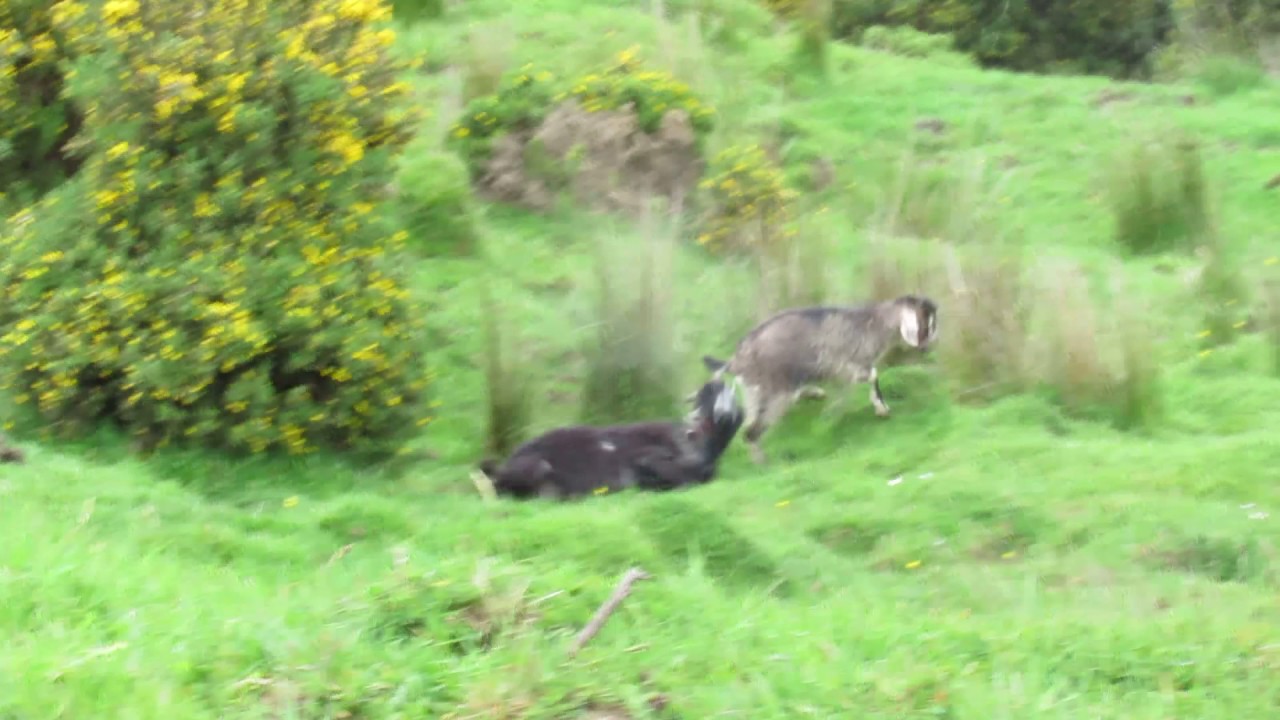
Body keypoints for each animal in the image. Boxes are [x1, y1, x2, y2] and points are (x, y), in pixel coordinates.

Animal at [702, 294, 939, 464]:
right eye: (928, 324)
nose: (930, 346)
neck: (871, 324)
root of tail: (738, 357)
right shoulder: (845, 362)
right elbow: (871, 374)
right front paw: (881, 409)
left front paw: (827, 407)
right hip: (774, 391)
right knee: (752, 431)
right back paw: (764, 464)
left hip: (756, 391)